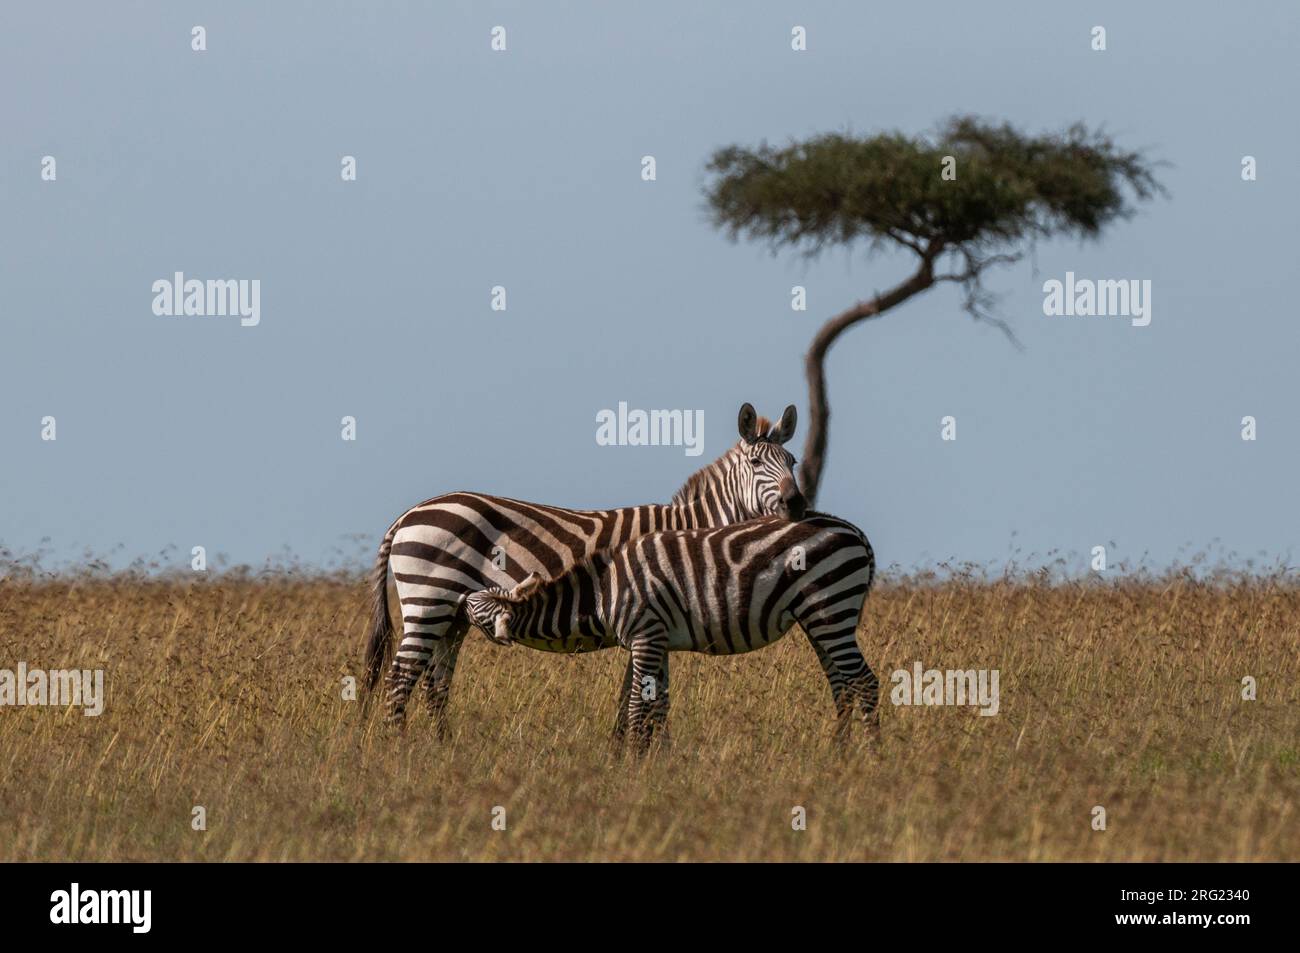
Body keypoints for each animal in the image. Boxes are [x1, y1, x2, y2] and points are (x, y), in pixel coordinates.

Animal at [366, 402, 808, 728]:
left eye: (793, 461)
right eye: (756, 463)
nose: (797, 504)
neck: (692, 529)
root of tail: (409, 514)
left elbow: (652, 700)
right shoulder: (651, 616)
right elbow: (648, 701)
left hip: (454, 616)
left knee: (435, 683)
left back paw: (439, 748)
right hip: (429, 600)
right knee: (401, 677)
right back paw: (398, 750)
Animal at [459, 513, 878, 746]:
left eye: (477, 607)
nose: (460, 594)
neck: (602, 592)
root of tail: (856, 533)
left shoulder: (645, 636)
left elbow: (636, 709)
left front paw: (630, 768)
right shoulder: (657, 639)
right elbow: (657, 708)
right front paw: (655, 765)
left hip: (831, 604)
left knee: (865, 682)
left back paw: (870, 759)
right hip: (819, 617)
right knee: (842, 686)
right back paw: (838, 756)